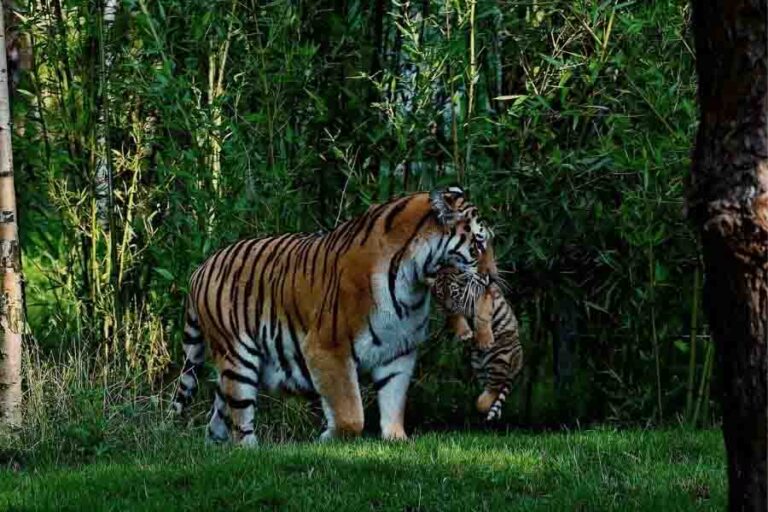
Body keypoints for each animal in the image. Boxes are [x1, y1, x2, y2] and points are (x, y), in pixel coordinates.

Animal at [171, 186, 489, 444]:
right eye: (478, 244)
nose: (490, 279)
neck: (413, 282)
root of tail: (200, 268)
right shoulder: (327, 348)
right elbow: (350, 413)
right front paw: (327, 438)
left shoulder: (398, 350)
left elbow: (393, 398)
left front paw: (396, 439)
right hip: (238, 357)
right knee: (240, 419)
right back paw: (250, 451)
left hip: (232, 368)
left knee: (217, 418)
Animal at [430, 240, 523, 421]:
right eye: (440, 294)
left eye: (454, 293)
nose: (448, 307)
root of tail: (519, 362)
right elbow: (456, 317)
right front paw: (465, 333)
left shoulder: (483, 295)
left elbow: (481, 317)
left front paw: (484, 340)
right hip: (479, 365)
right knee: (493, 388)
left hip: (499, 356)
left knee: (495, 387)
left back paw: (480, 404)